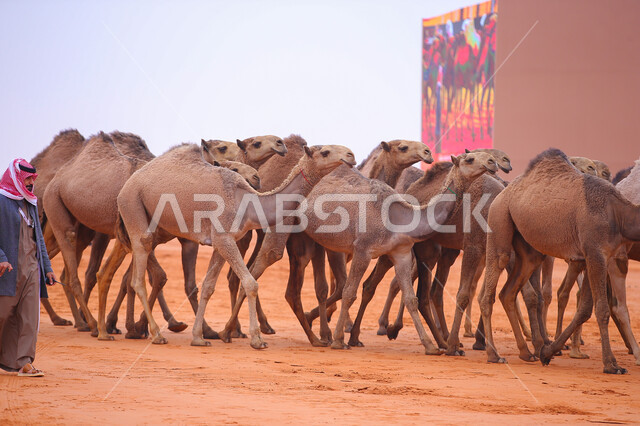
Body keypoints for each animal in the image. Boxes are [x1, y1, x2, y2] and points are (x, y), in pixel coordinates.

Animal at [116, 143, 355, 347]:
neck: (248, 203)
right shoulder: (224, 237)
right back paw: (156, 335)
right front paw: (257, 339)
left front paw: (198, 337)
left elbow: (209, 286)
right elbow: (250, 283)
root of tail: (126, 185)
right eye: (325, 152)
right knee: (138, 274)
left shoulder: (221, 242)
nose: (350, 155)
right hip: (132, 204)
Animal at [478, 148, 640, 374]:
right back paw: (494, 355)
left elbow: (585, 309)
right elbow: (601, 309)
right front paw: (611, 364)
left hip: (529, 250)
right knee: (490, 291)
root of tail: (503, 193)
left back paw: (527, 353)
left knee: (508, 292)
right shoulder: (595, 253)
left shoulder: (597, 257)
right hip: (499, 219)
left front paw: (547, 353)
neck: (618, 212)